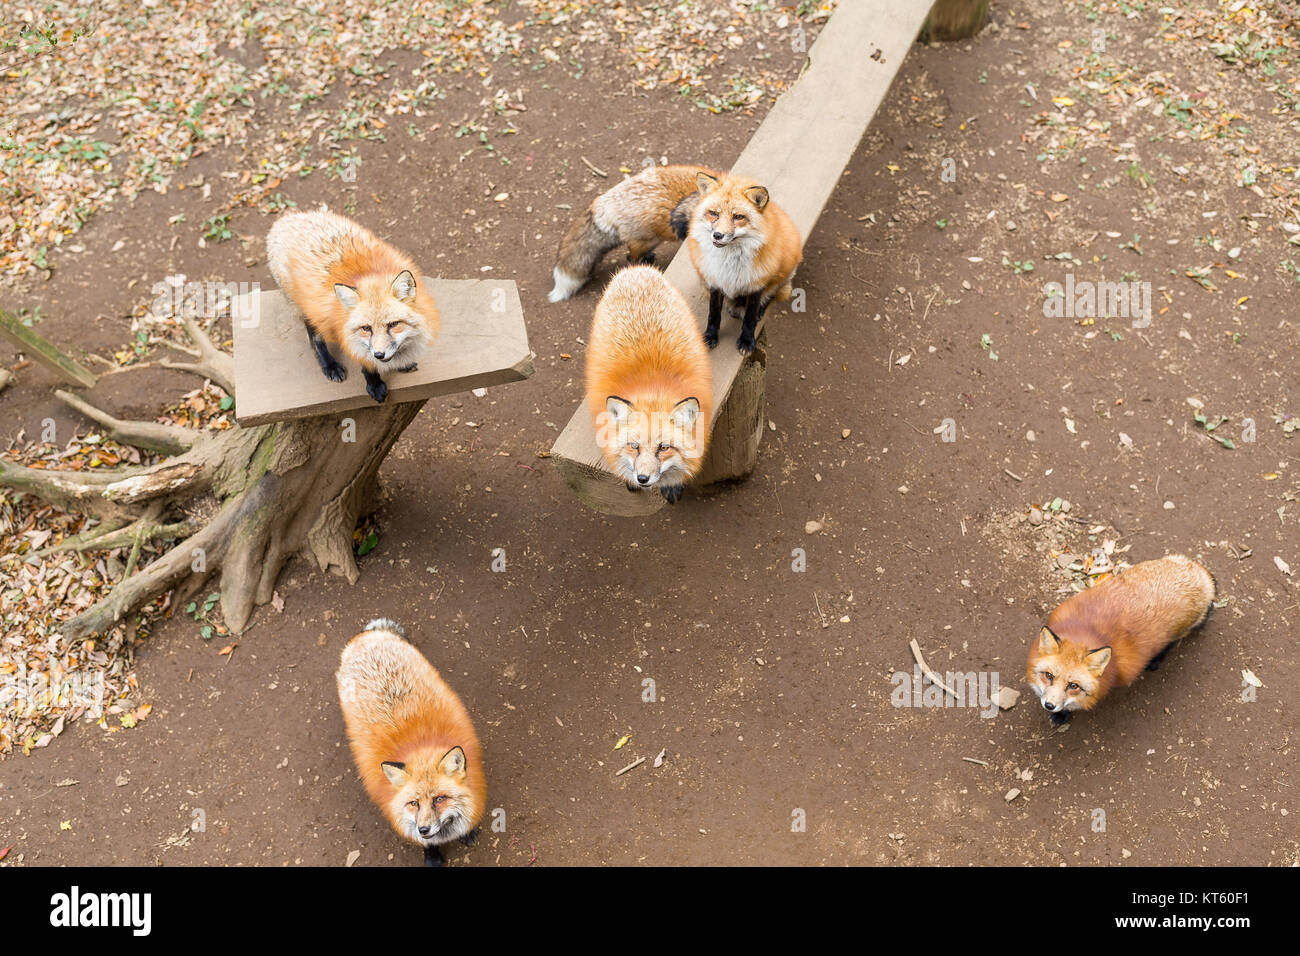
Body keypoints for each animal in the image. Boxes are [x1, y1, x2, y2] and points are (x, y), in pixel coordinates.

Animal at [267, 209, 439, 404]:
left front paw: (401, 363)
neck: (371, 275)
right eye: (366, 328)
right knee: (314, 336)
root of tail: (287, 217)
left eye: (394, 325)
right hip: (305, 305)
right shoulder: (349, 335)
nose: (379, 355)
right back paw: (329, 364)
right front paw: (374, 384)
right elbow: (365, 361)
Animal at [336, 619, 485, 866]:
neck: (419, 747)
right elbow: (426, 843)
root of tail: (365, 638)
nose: (424, 829)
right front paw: (432, 855)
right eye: (413, 803)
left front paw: (468, 831)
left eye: (439, 799)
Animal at [686, 171, 802, 354]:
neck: (729, 263)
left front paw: (747, 340)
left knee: (771, 295)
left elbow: (749, 317)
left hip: (783, 273)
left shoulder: (757, 283)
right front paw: (711, 336)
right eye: (713, 214)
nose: (717, 235)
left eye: (738, 217)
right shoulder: (715, 280)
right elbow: (713, 313)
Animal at [1026, 555, 1217, 726]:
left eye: (1073, 686)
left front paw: (1062, 713)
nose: (1049, 705)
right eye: (1048, 675)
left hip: (1177, 633)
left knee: (1170, 644)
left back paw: (1156, 660)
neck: (1086, 631)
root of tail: (1200, 572)